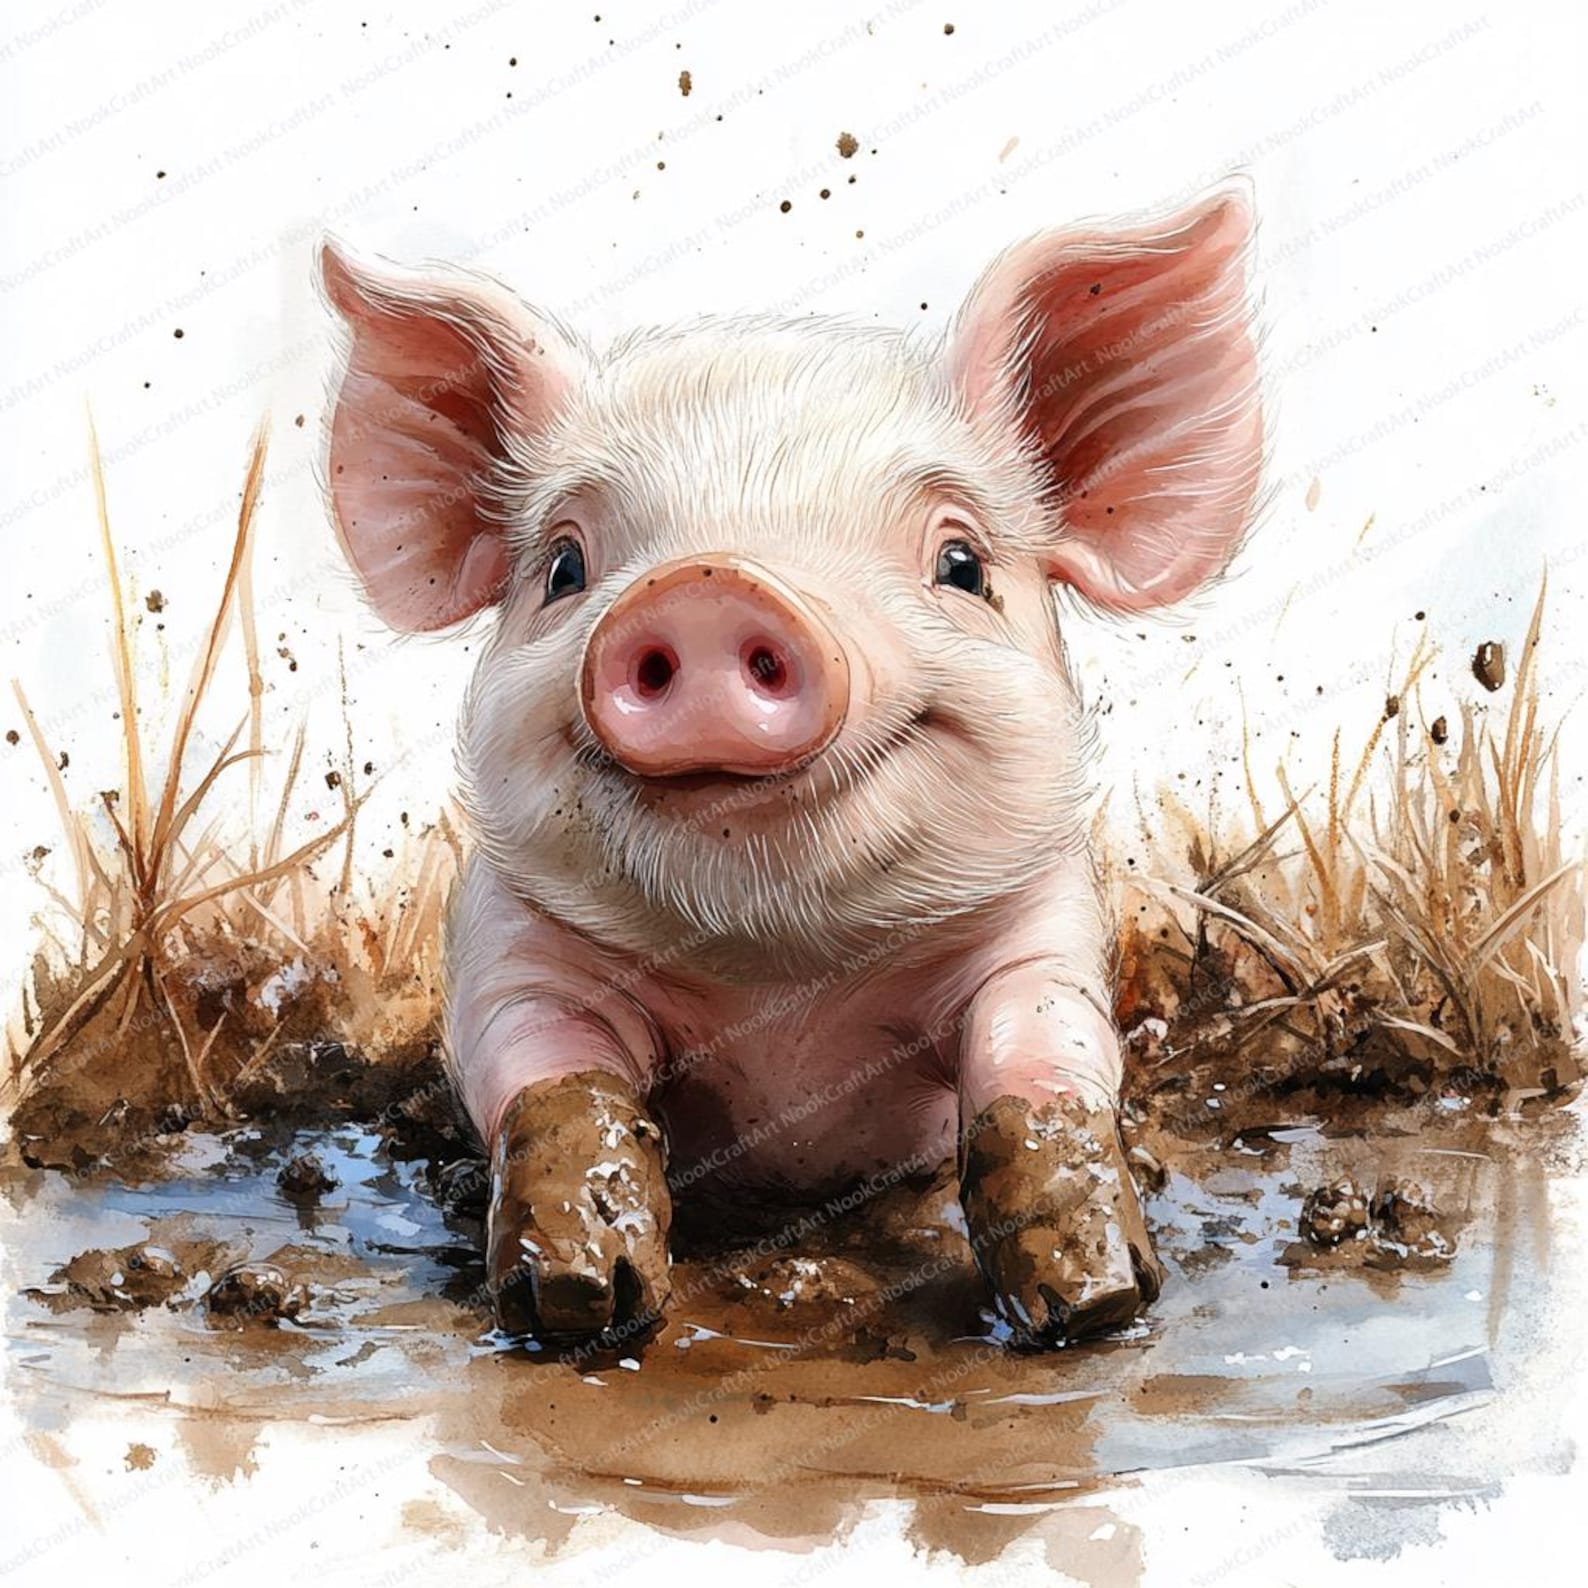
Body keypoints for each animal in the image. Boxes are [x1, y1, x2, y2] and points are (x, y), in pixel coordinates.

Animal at [319, 186, 1262, 1349]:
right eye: (565, 567)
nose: (711, 583)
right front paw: (577, 1308)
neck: (782, 981)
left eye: (961, 564)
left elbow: (1035, 1062)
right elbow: (554, 1074)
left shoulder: (1042, 930)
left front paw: (1095, 1308)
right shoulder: (509, 944)